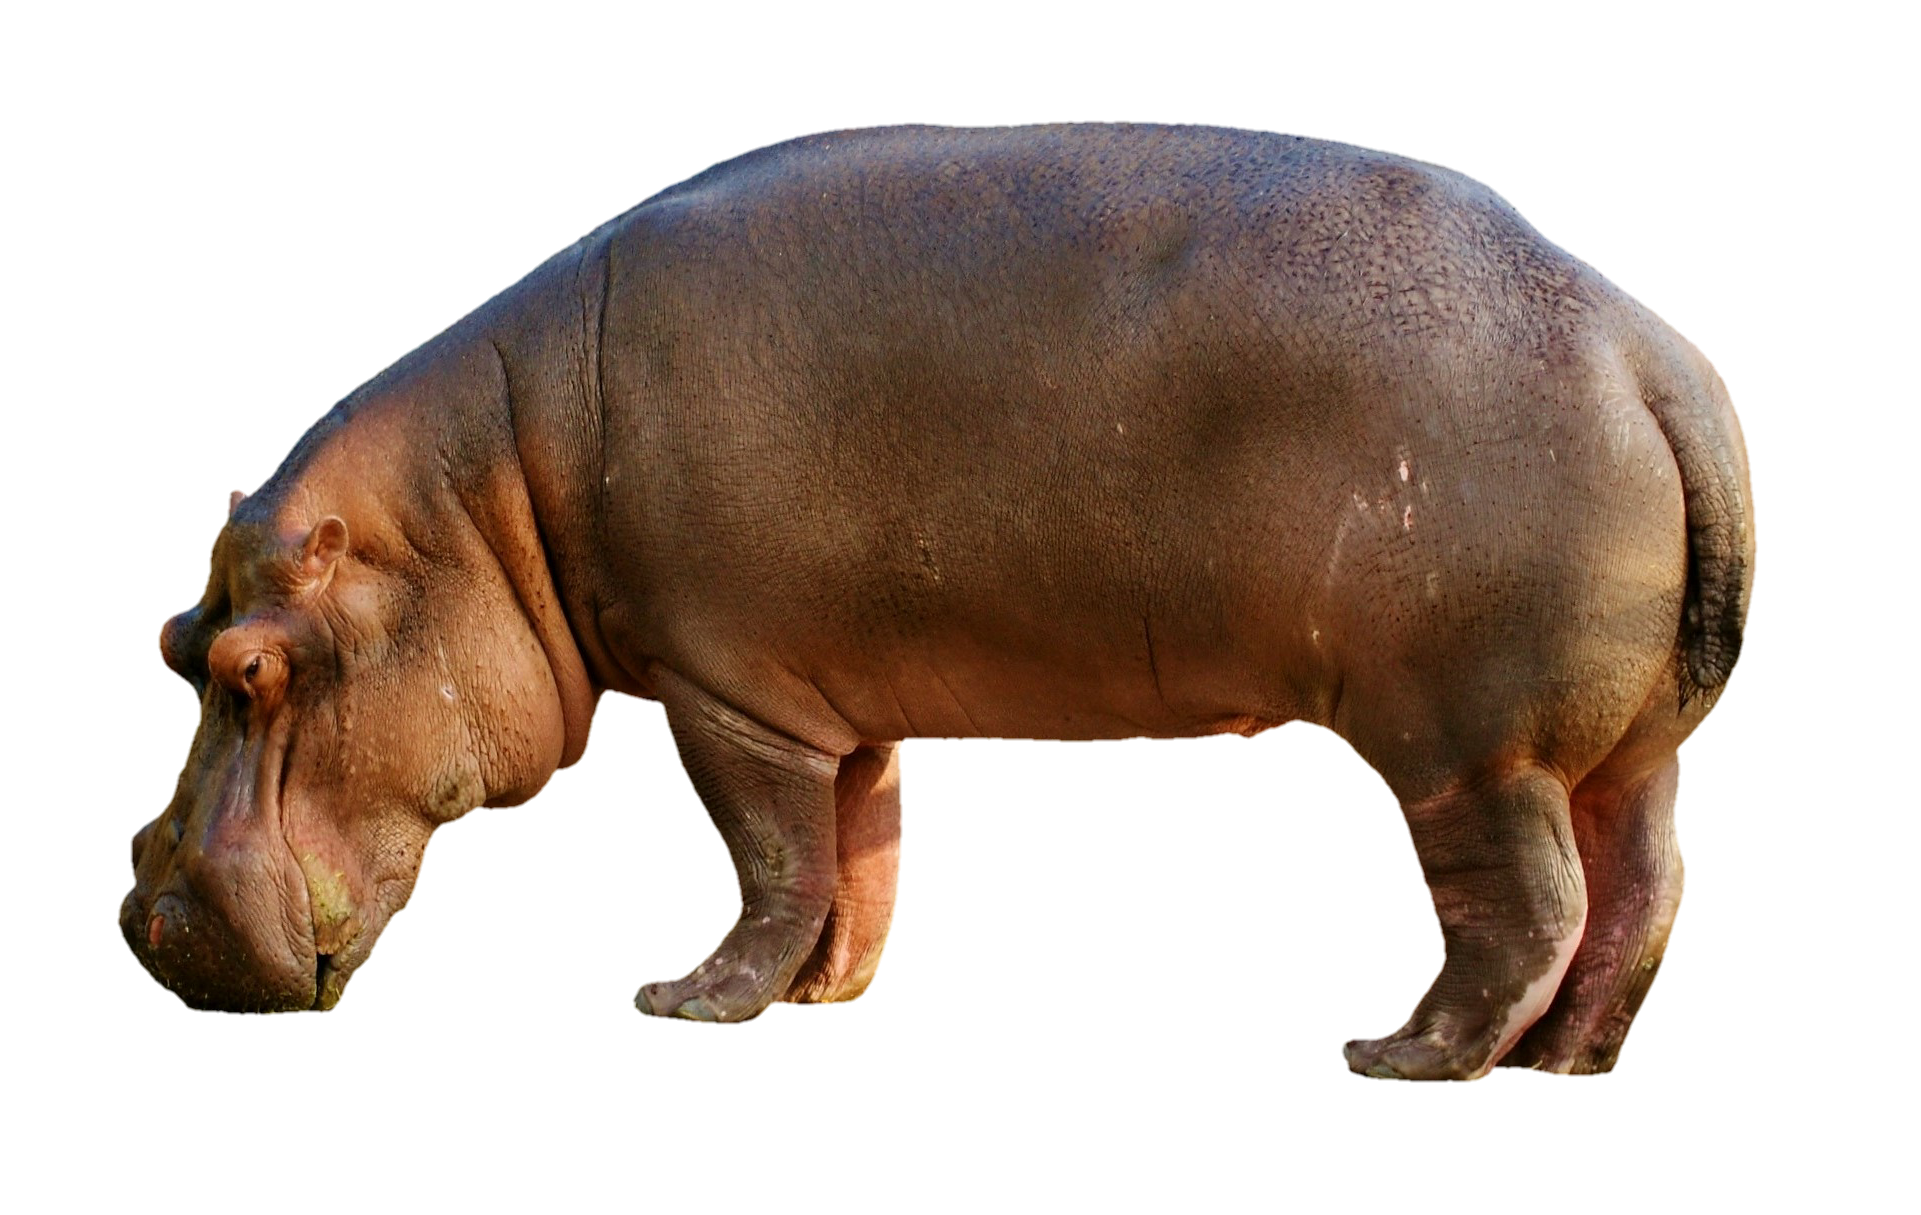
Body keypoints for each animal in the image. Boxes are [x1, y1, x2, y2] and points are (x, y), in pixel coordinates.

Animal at [122, 121, 1753, 1080]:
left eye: (255, 670)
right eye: (170, 639)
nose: (141, 914)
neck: (488, 491)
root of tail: (1645, 349)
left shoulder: (726, 690)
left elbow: (772, 855)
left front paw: (687, 1001)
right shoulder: (832, 696)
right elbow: (860, 852)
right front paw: (822, 998)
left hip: (1468, 747)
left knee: (1523, 909)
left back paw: (1405, 1056)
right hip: (1625, 748)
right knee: (1644, 891)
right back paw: (1569, 1064)